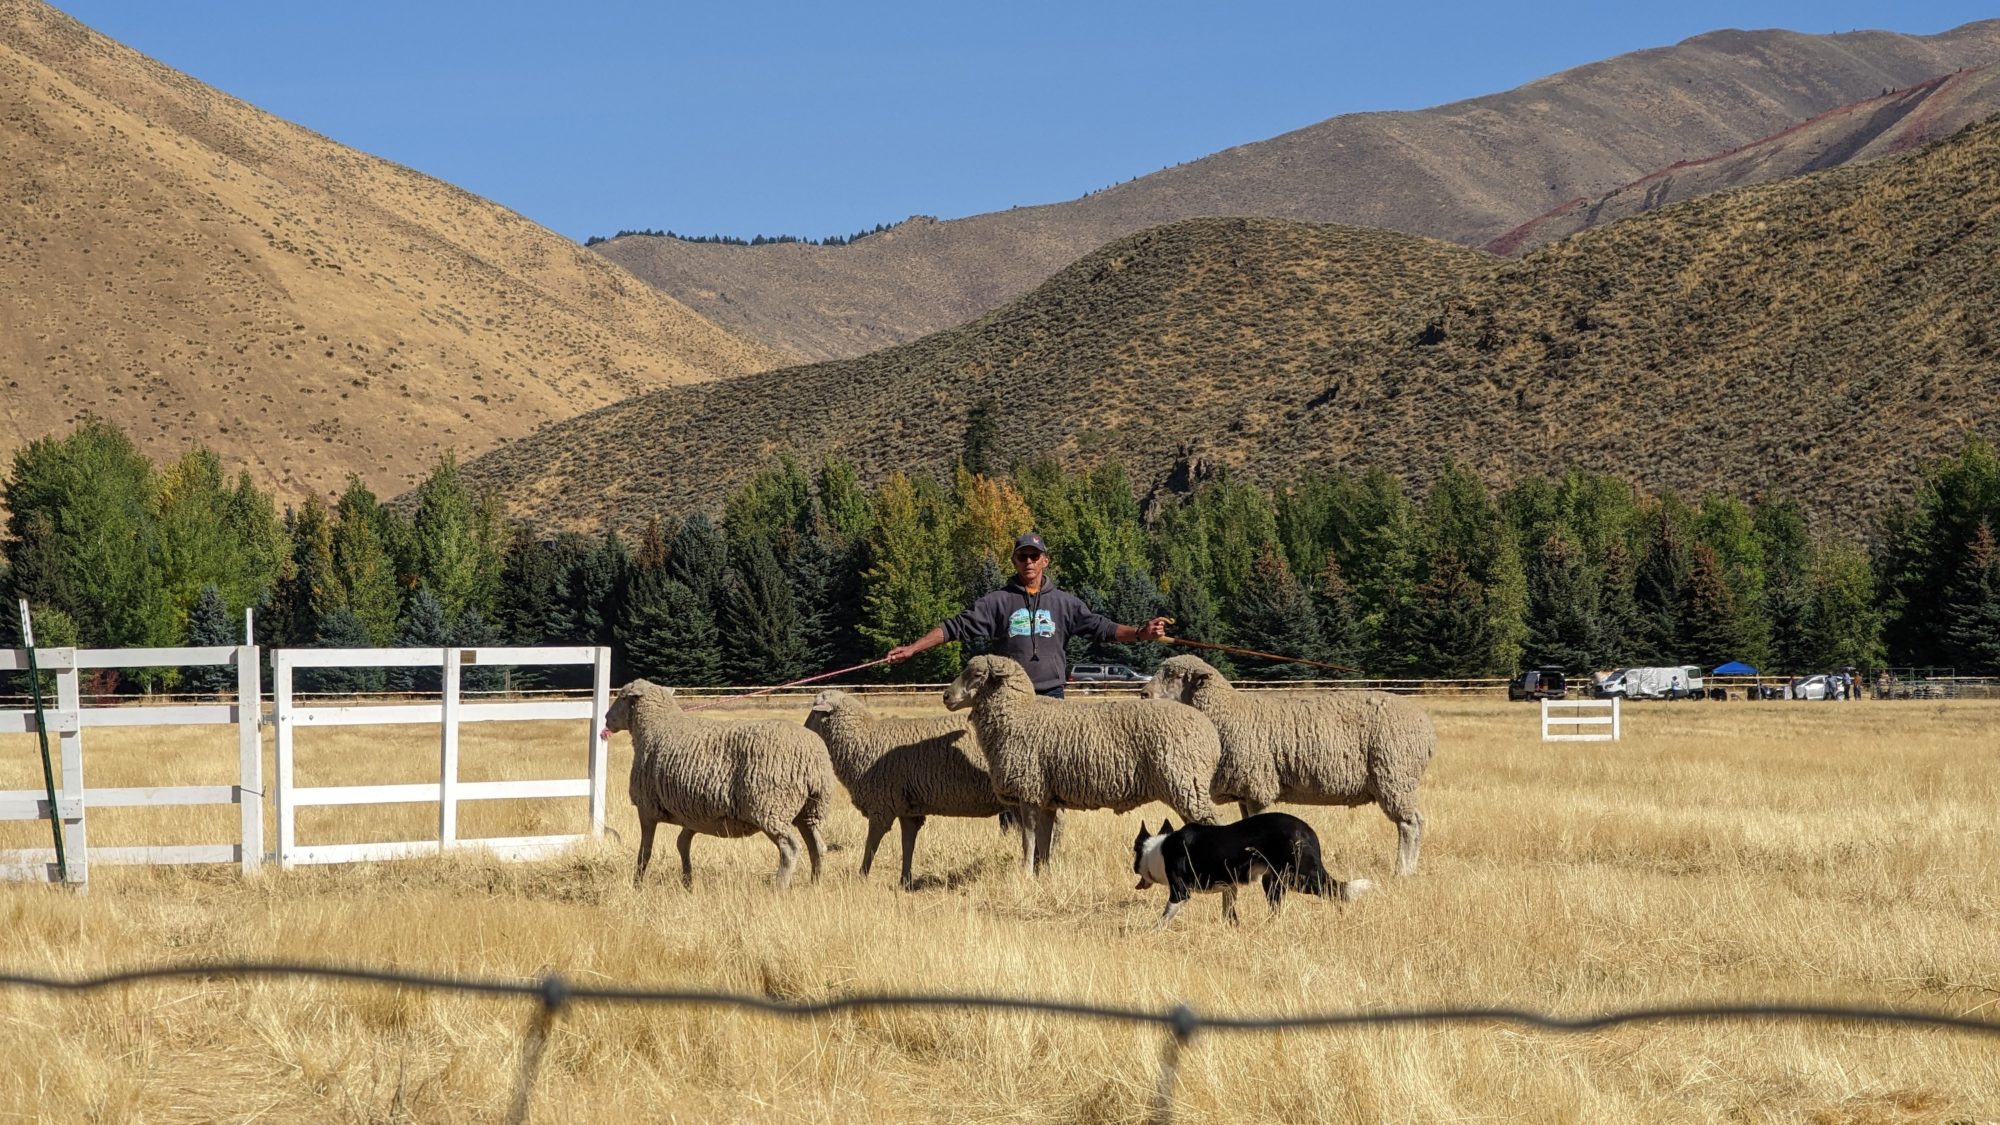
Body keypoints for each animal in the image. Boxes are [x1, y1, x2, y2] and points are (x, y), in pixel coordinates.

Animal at [602, 679, 835, 890]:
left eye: (622, 697)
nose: (606, 719)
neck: (655, 726)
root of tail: (813, 758)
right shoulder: (692, 812)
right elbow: (682, 844)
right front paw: (688, 882)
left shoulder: (647, 808)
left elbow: (645, 852)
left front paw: (637, 885)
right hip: (810, 810)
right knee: (818, 847)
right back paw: (815, 884)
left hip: (771, 806)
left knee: (790, 848)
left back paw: (779, 888)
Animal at [803, 688, 1021, 888]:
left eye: (814, 710)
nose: (803, 729)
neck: (861, 741)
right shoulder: (908, 809)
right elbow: (907, 844)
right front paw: (904, 881)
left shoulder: (881, 805)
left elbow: (871, 845)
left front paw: (861, 877)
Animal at [942, 654, 1222, 875]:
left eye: (978, 674)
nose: (946, 696)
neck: (1018, 716)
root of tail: (1210, 731)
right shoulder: (1046, 798)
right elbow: (1044, 839)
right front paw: (1045, 873)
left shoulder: (1029, 791)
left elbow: (1028, 839)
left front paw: (1026, 874)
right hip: (1186, 786)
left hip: (1185, 783)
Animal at [1145, 655, 1435, 876]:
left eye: (1174, 675)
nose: (1144, 694)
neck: (1227, 713)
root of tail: (1426, 727)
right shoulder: (1244, 792)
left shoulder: (1258, 786)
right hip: (1398, 780)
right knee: (1416, 821)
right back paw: (1411, 869)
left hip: (1394, 776)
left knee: (1409, 824)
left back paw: (1403, 870)